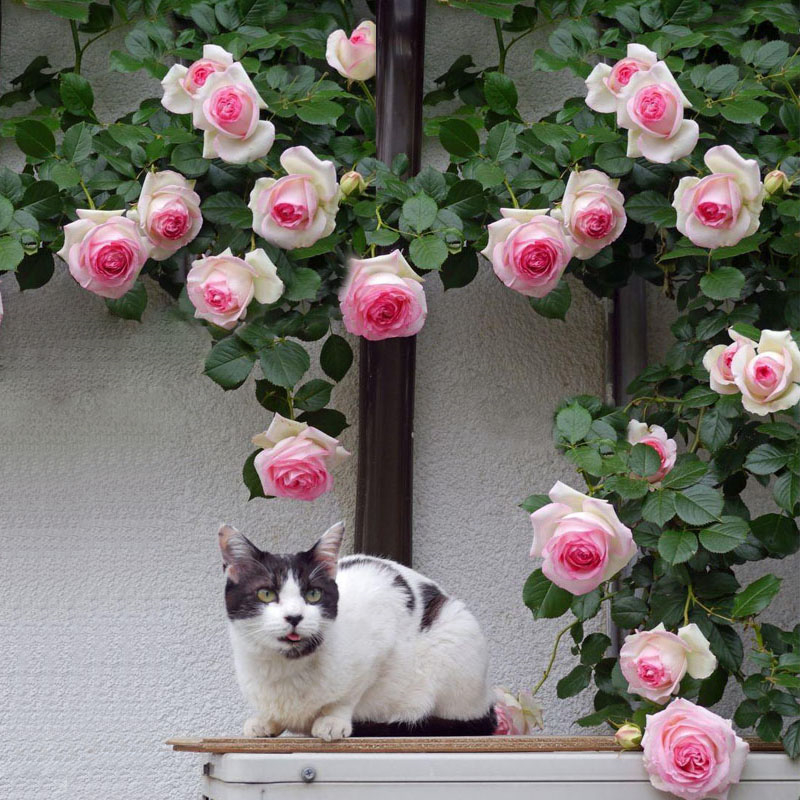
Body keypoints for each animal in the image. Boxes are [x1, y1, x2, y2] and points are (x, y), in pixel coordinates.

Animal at [219, 520, 494, 740]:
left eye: (313, 594)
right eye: (266, 594)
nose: (295, 617)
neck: (285, 668)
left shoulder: (381, 628)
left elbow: (349, 695)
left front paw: (332, 720)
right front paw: (267, 721)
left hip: (455, 635)